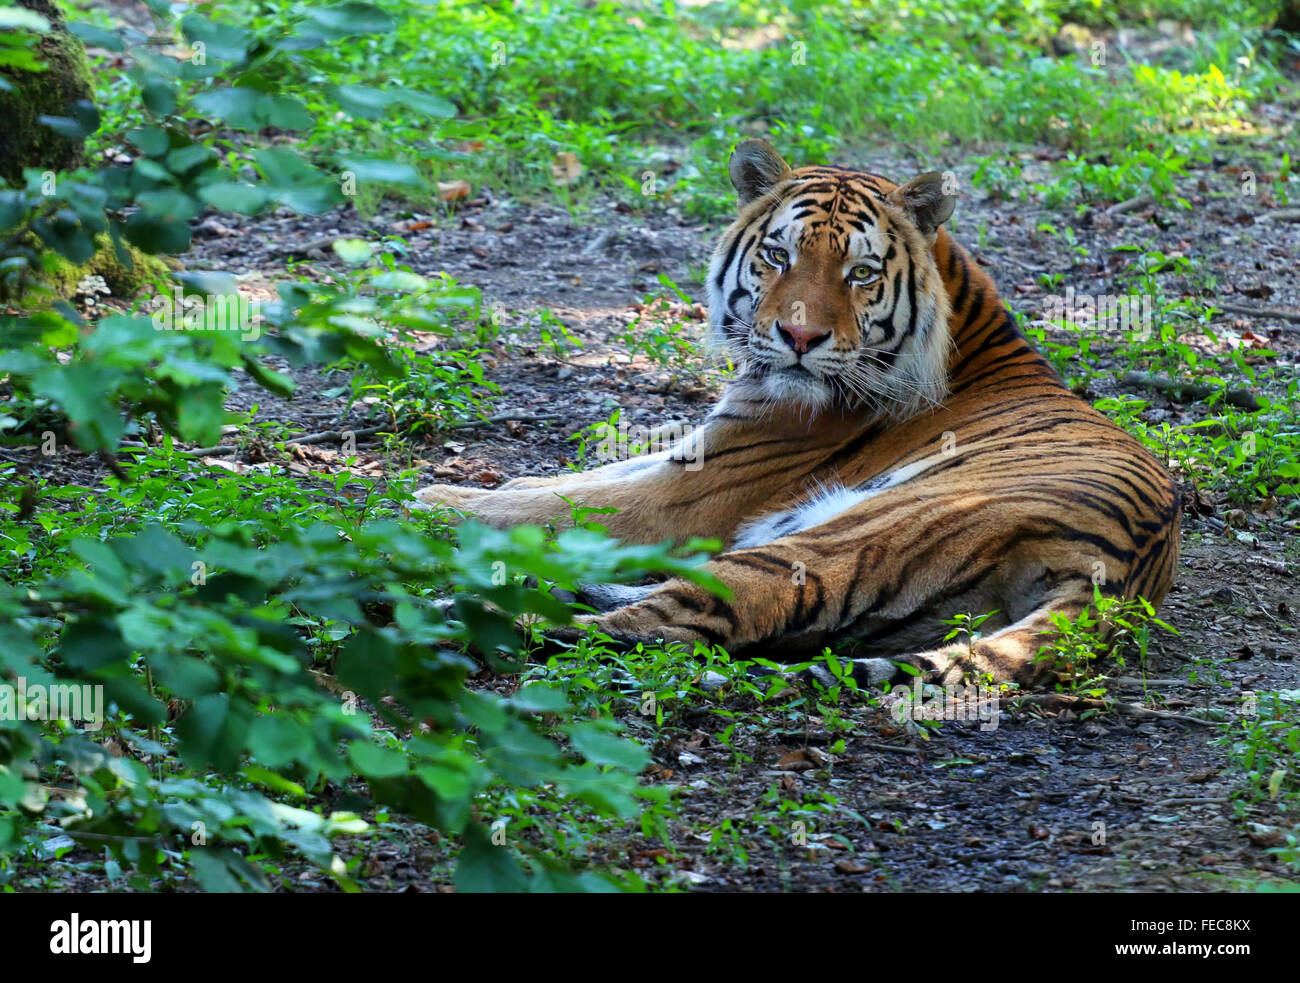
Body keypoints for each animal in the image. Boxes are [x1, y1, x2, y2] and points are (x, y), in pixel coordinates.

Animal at [415, 139, 1180, 690]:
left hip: (837, 540)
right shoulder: (698, 447)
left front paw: (428, 499)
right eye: (778, 255)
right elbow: (567, 482)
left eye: (861, 273)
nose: (799, 337)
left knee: (673, 625)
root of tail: (1123, 577)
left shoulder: (694, 490)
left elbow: (557, 503)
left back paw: (450, 613)